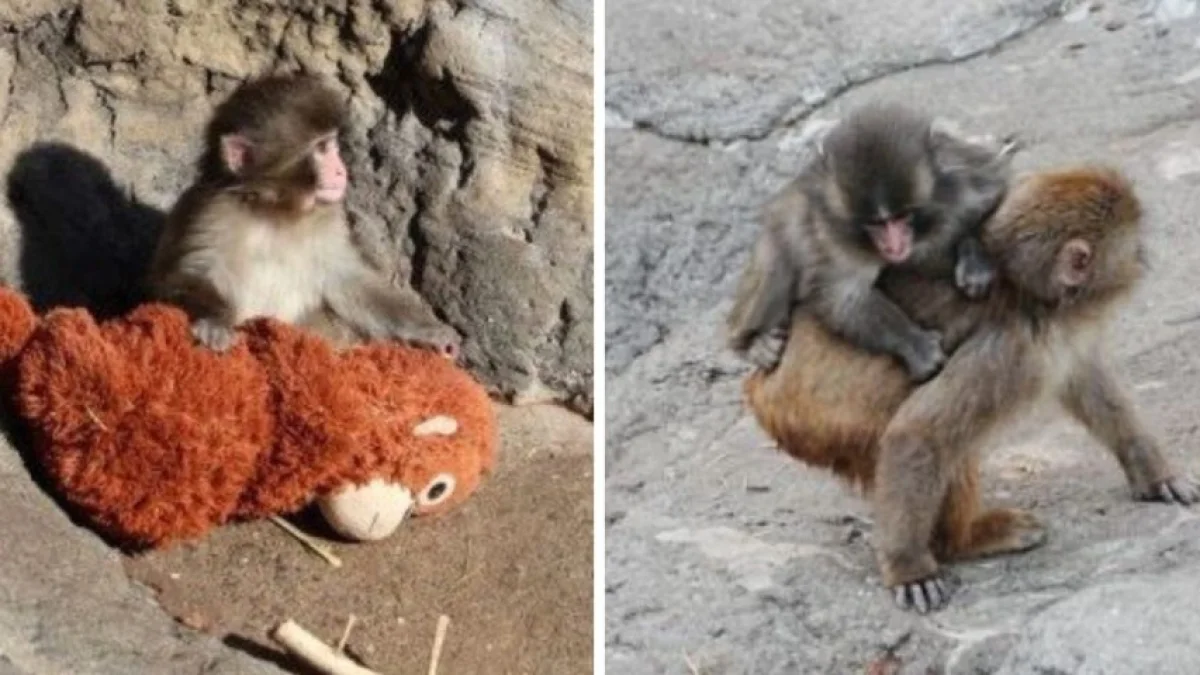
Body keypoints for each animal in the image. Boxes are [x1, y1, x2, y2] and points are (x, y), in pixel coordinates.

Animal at [148, 73, 458, 357]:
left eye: (332, 145)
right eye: (322, 149)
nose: (341, 170)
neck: (275, 212)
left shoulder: (329, 221)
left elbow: (348, 280)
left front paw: (430, 332)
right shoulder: (211, 213)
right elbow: (183, 275)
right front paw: (215, 321)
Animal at [725, 102, 1016, 381]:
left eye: (901, 217)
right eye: (876, 225)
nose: (894, 247)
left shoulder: (966, 172)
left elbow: (995, 192)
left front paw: (974, 260)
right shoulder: (833, 236)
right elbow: (845, 297)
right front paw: (915, 345)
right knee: (775, 263)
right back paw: (749, 343)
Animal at [742, 165, 1199, 613]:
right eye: (1133, 245)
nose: (1145, 258)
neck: (1027, 291)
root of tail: (760, 385)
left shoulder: (1055, 335)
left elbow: (1085, 377)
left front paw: (1154, 472)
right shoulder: (1010, 351)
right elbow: (916, 433)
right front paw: (909, 570)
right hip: (822, 421)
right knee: (940, 445)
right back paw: (963, 541)